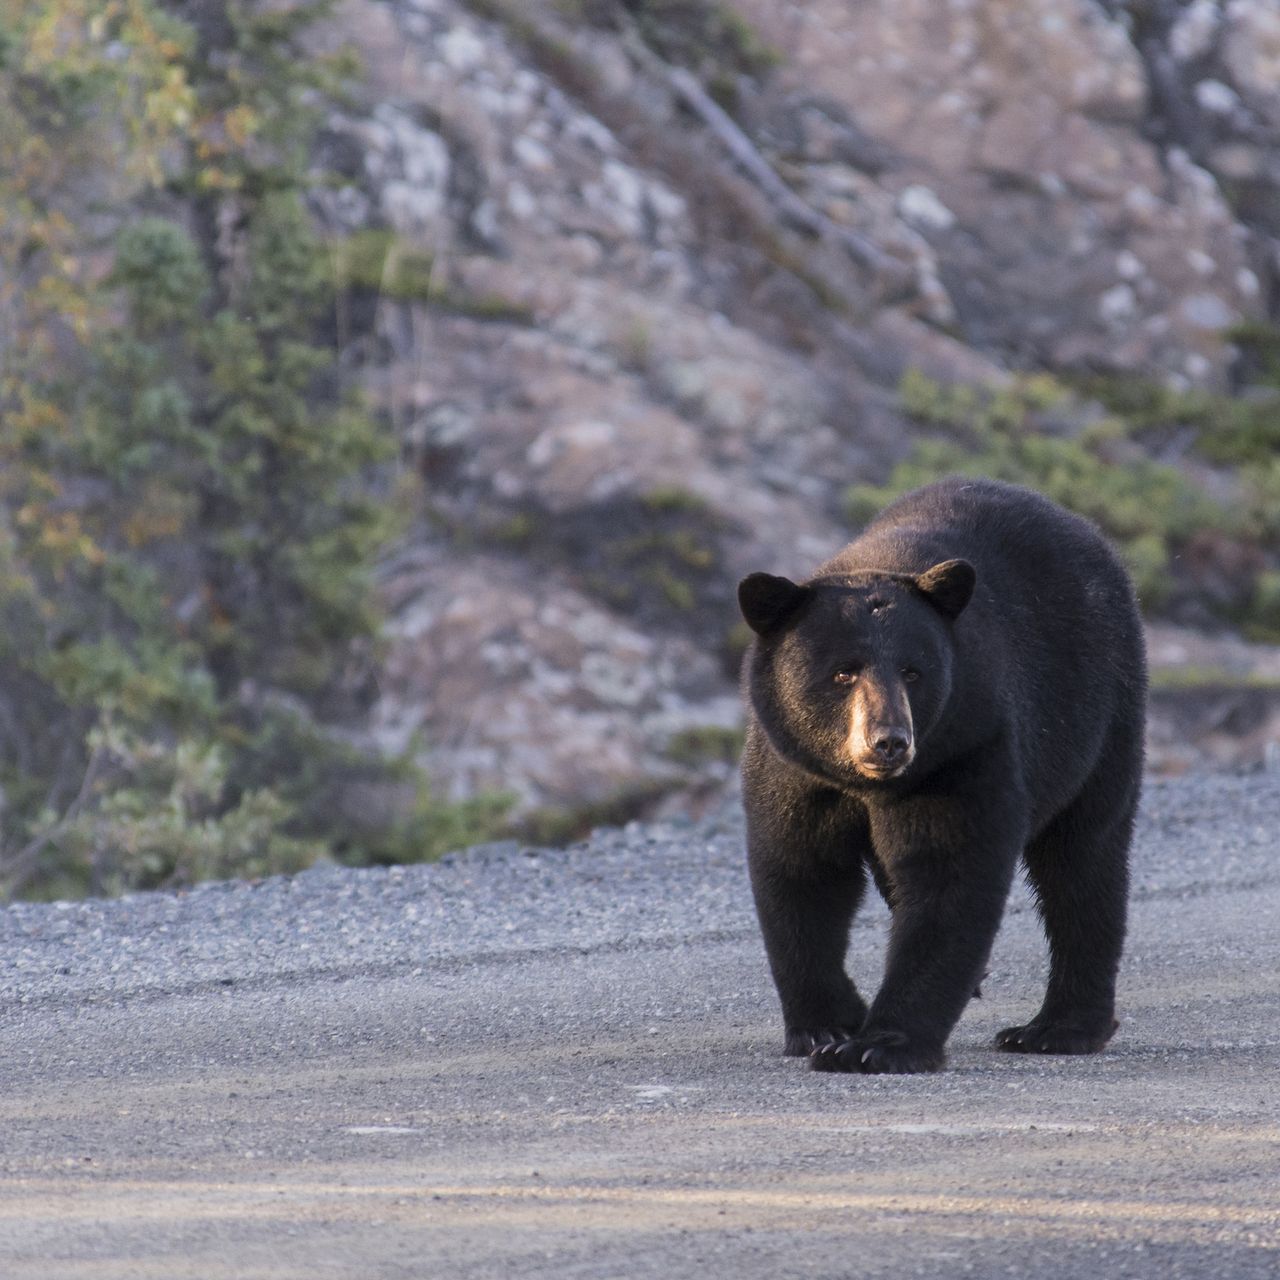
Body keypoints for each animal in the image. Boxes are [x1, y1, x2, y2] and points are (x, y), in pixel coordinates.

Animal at [737, 476, 1146, 1074]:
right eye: (842, 672)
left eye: (913, 670)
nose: (889, 741)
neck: (864, 785)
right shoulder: (793, 768)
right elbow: (800, 871)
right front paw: (824, 1026)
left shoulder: (964, 747)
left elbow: (948, 873)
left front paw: (879, 1045)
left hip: (1100, 716)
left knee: (1082, 863)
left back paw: (1057, 1028)